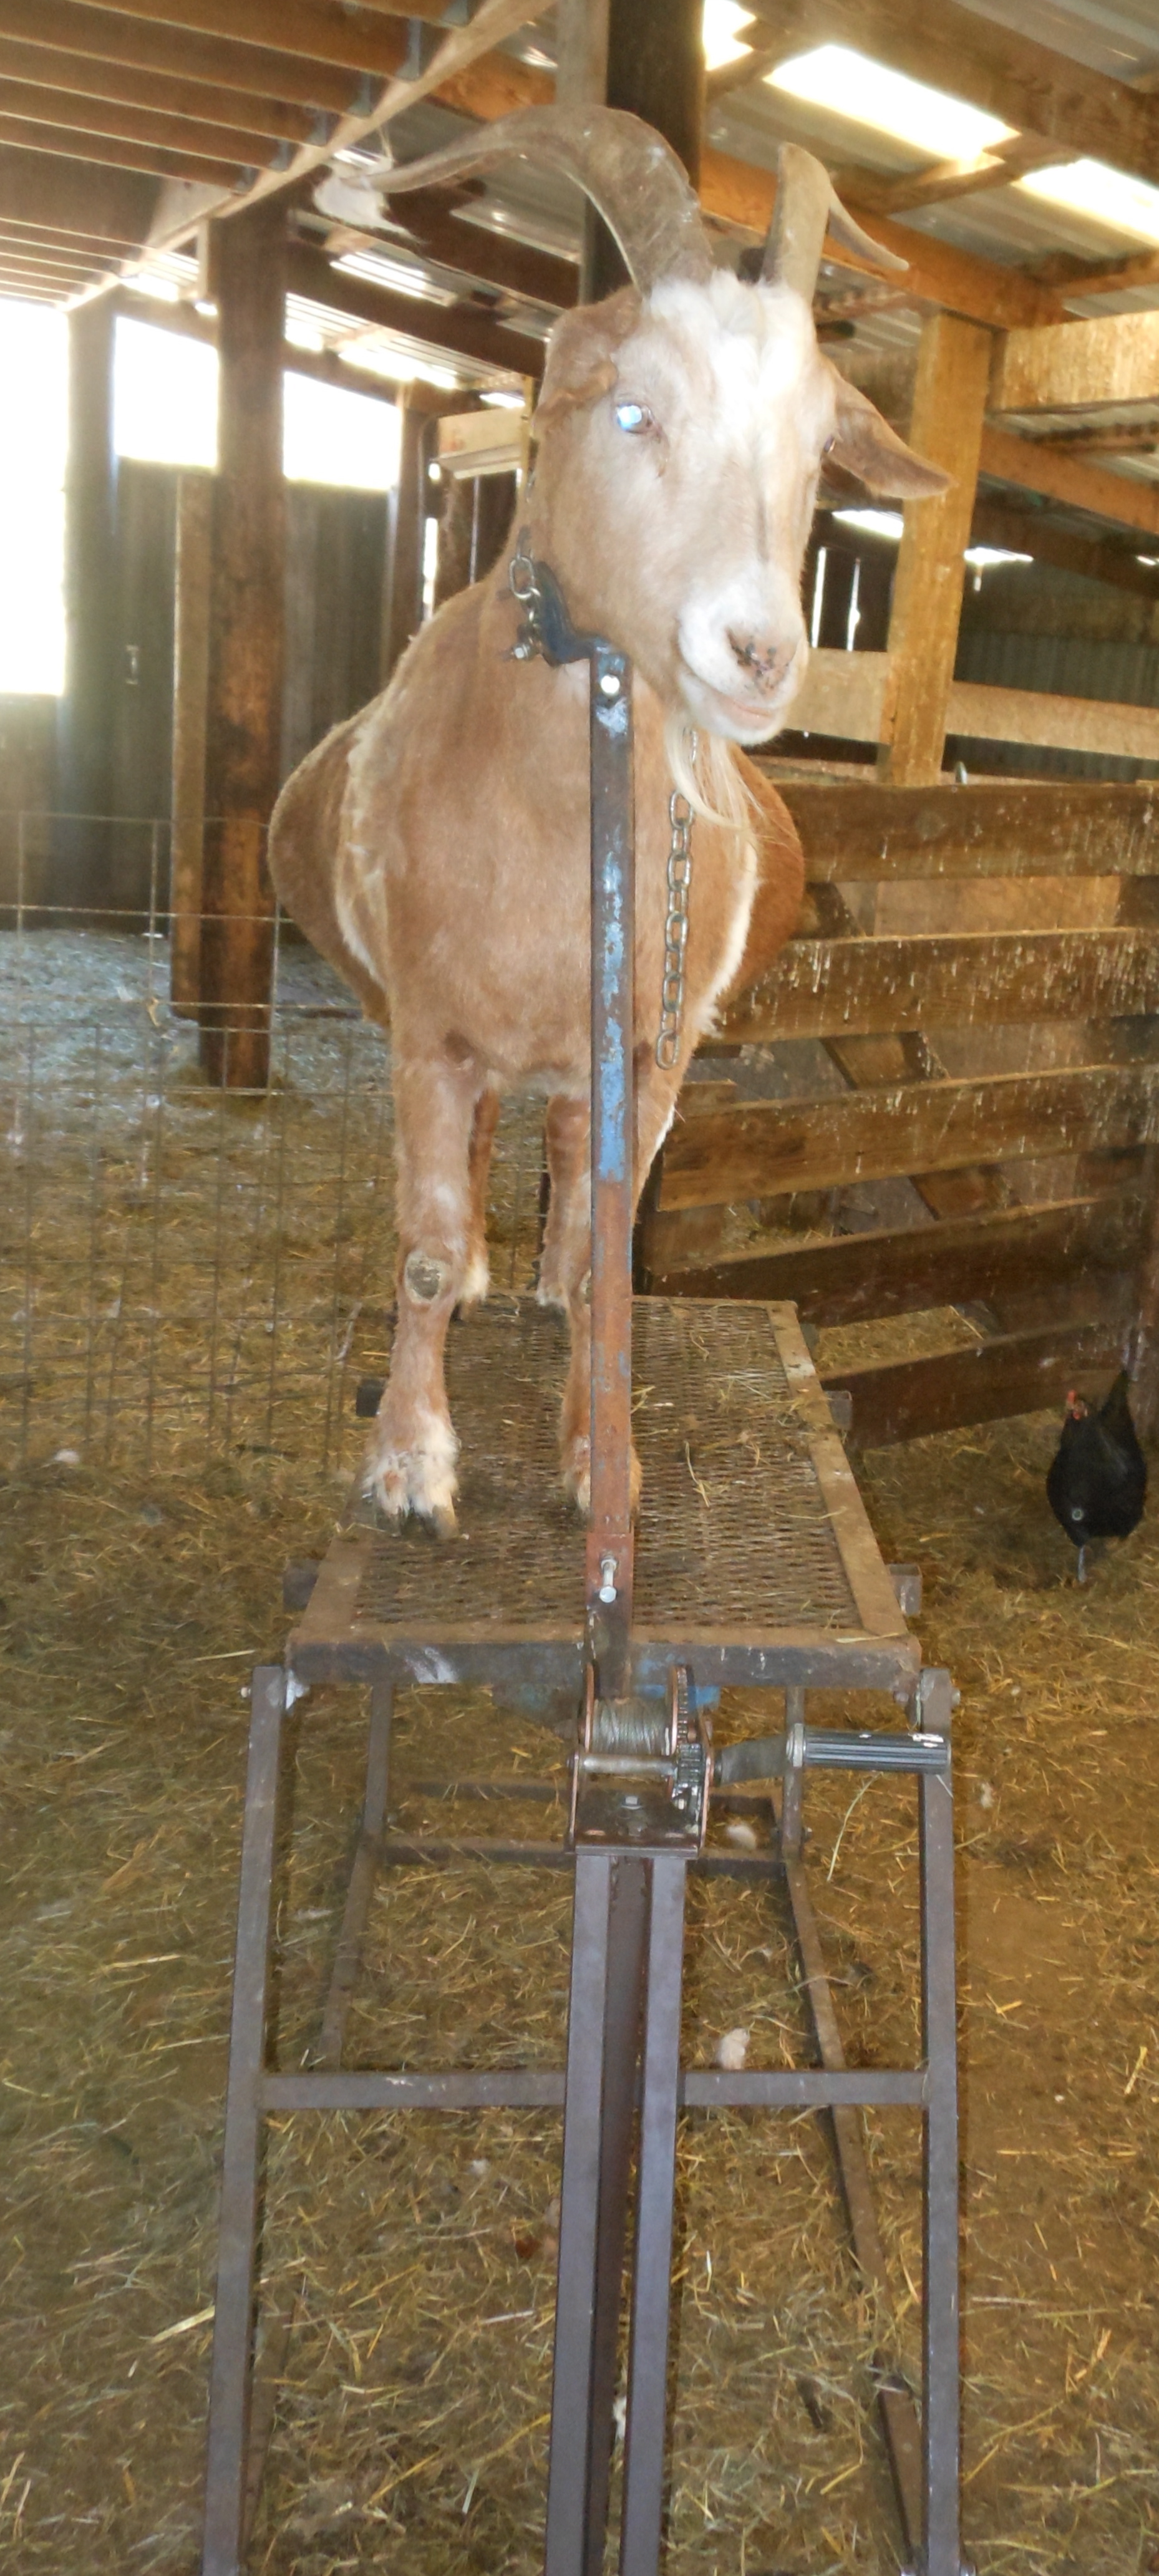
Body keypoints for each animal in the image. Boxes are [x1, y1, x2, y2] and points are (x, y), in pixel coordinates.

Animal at [270, 111, 947, 1533]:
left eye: (820, 449)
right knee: (478, 1166)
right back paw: (488, 1279)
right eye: (632, 409)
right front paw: (409, 1463)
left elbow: (612, 1253)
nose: (758, 653)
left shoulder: (654, 1048)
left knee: (566, 1179)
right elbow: (422, 1247)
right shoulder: (425, 1029)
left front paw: (601, 1460)